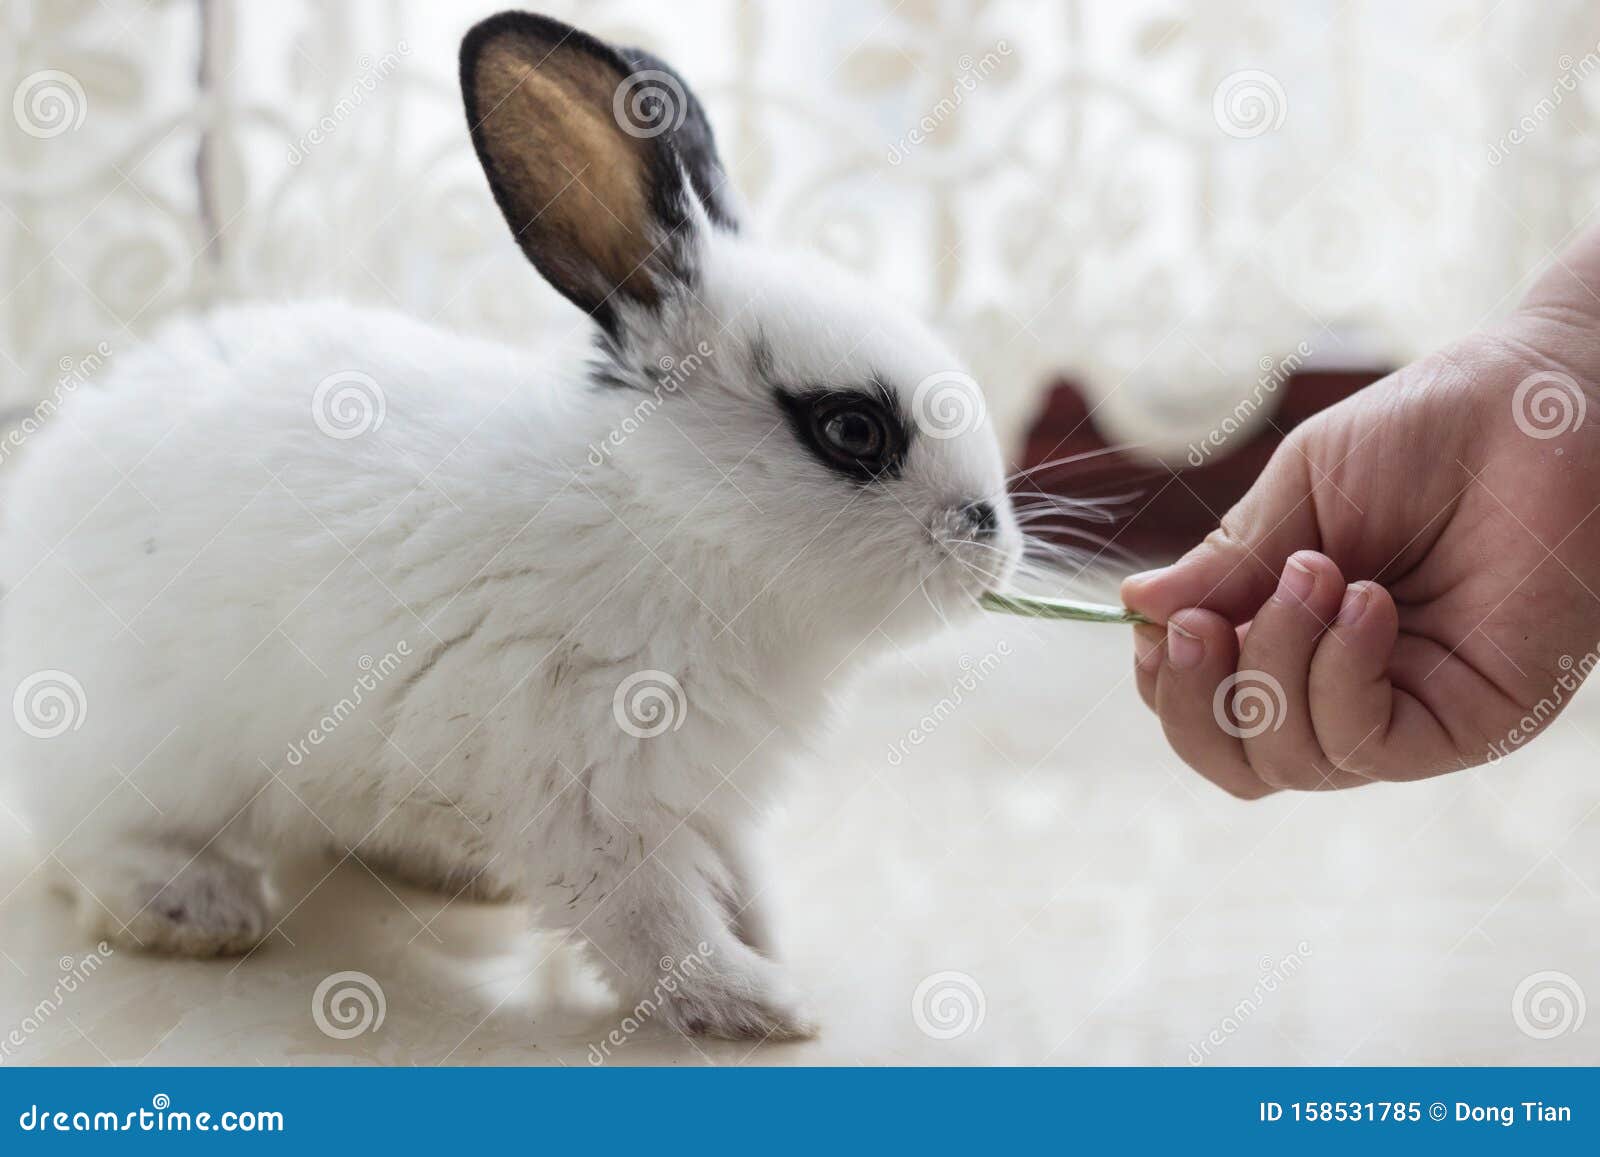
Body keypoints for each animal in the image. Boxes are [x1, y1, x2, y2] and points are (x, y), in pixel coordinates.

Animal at [0, 11, 1021, 1041]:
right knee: (89, 850)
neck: (663, 522)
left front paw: (772, 959)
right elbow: (655, 921)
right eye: (851, 429)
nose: (992, 543)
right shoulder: (583, 799)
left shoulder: (705, 796)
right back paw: (197, 909)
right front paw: (760, 1006)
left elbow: (738, 886)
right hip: (133, 756)